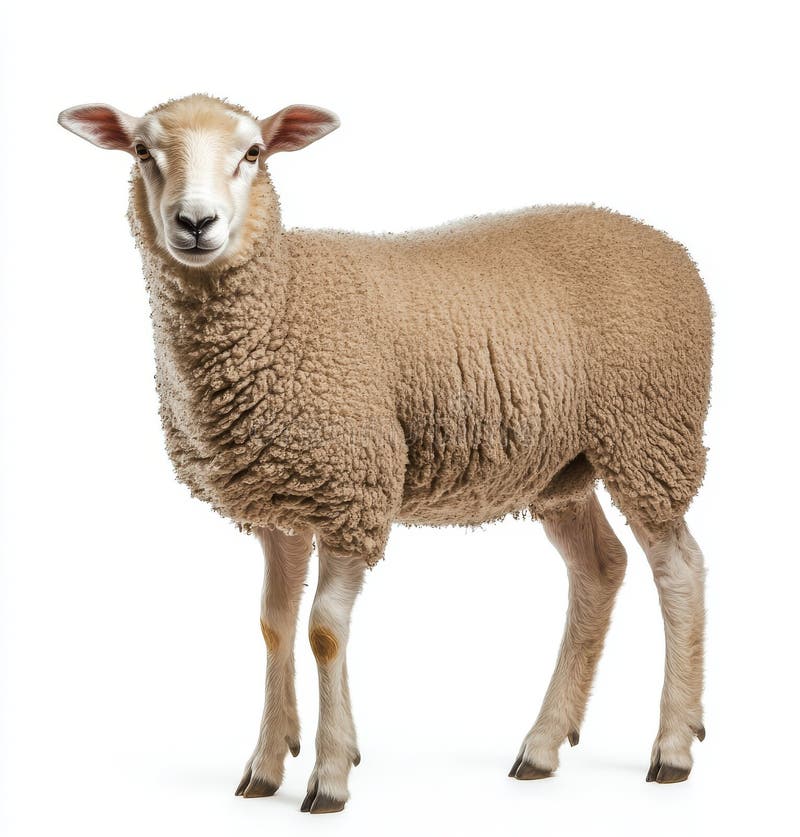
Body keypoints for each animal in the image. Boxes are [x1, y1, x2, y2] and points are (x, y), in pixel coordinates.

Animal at [57, 93, 713, 814]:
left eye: (253, 153)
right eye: (142, 151)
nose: (196, 222)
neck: (284, 300)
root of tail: (667, 244)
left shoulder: (354, 487)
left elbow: (323, 629)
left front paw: (330, 774)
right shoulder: (279, 500)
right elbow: (274, 625)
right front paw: (266, 765)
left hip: (649, 436)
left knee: (680, 568)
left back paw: (673, 747)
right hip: (560, 466)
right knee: (599, 567)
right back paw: (542, 745)